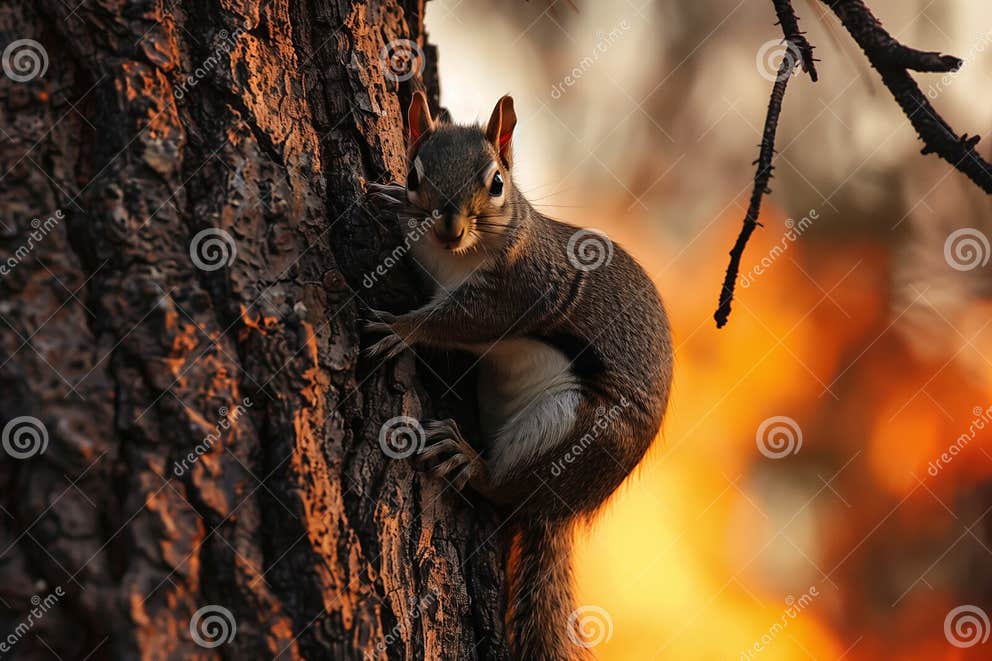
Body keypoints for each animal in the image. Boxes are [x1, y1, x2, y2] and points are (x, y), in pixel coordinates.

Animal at [364, 91, 673, 661]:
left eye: (496, 183)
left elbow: (458, 321)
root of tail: (565, 508)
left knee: (507, 488)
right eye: (416, 174)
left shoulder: (519, 290)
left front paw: (402, 327)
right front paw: (390, 197)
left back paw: (469, 459)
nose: (450, 227)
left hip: (573, 429)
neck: (454, 255)